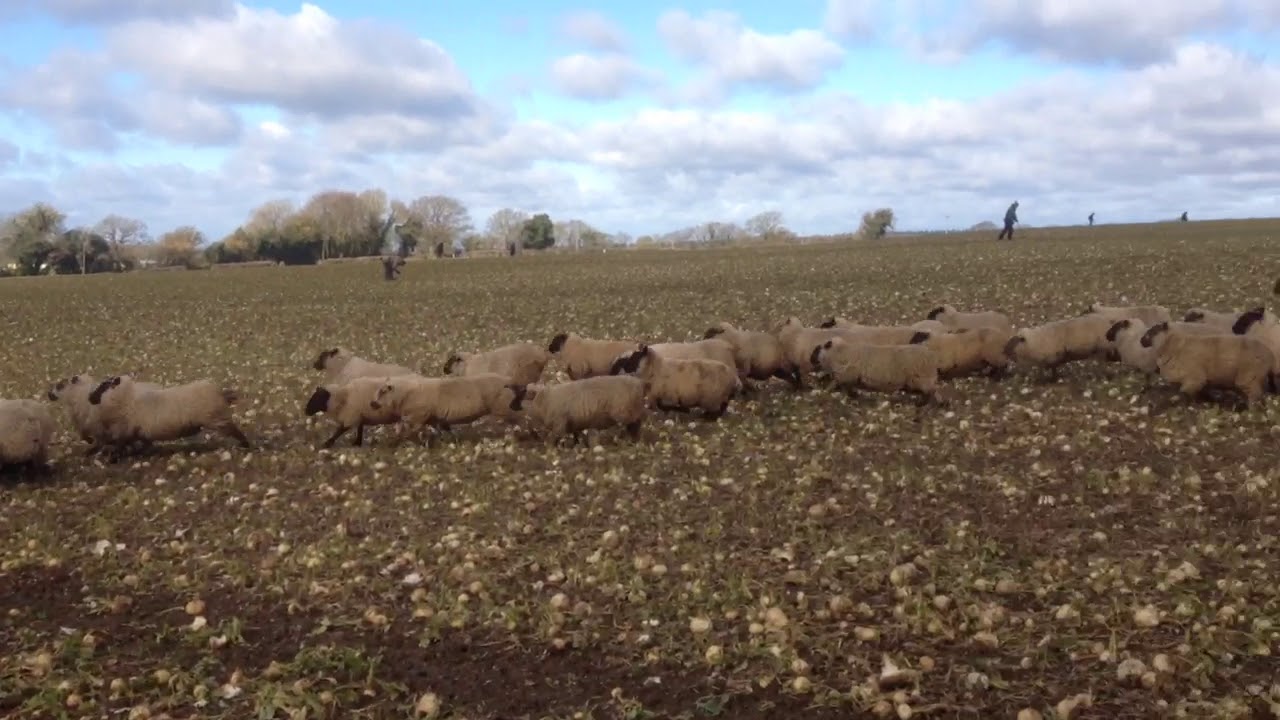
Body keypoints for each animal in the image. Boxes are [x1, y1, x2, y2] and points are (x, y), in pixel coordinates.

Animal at [87, 375, 250, 457]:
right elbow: (140, 444)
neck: (126, 399)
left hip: (216, 418)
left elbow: (119, 446)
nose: (90, 397)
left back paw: (246, 445)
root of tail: (221, 393)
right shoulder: (138, 432)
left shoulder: (125, 430)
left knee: (234, 430)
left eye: (104, 386)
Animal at [368, 373, 516, 436]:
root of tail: (510, 379)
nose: (372, 403)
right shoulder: (433, 418)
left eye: (383, 391)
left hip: (504, 408)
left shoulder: (418, 417)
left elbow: (412, 431)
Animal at [507, 375, 648, 445]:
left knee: (634, 424)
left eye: (522, 393)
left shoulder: (559, 424)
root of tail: (640, 383)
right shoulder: (574, 423)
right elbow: (576, 437)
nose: (511, 406)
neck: (546, 397)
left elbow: (554, 441)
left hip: (625, 411)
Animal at [611, 344, 742, 420]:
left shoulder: (666, 395)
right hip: (720, 397)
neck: (656, 368)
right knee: (722, 408)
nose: (614, 371)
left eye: (634, 356)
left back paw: (705, 418)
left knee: (717, 411)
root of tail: (733, 378)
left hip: (713, 398)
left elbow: (664, 406)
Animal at [809, 336, 942, 405]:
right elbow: (845, 388)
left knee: (932, 391)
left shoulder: (846, 374)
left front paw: (825, 392)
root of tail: (932, 356)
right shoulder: (847, 377)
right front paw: (853, 396)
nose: (810, 359)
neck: (842, 352)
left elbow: (836, 385)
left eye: (817, 349)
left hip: (921, 378)